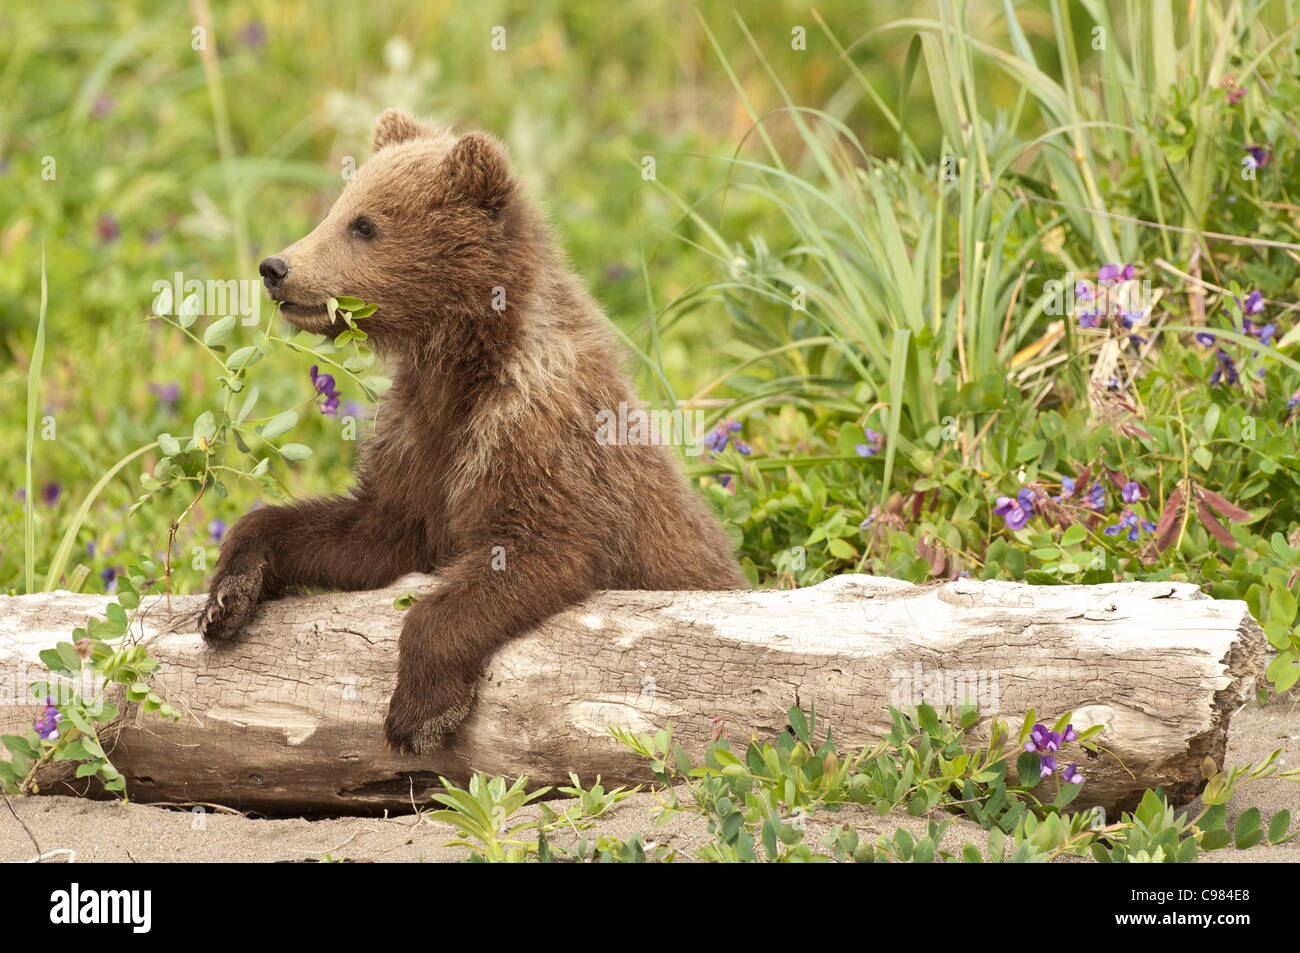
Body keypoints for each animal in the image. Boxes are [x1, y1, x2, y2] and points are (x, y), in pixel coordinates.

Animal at [199, 108, 748, 754]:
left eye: (365, 224)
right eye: (336, 209)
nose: (276, 268)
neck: (461, 367)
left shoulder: (539, 438)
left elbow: (532, 552)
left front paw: (421, 713)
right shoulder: (416, 443)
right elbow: (365, 532)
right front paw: (228, 594)